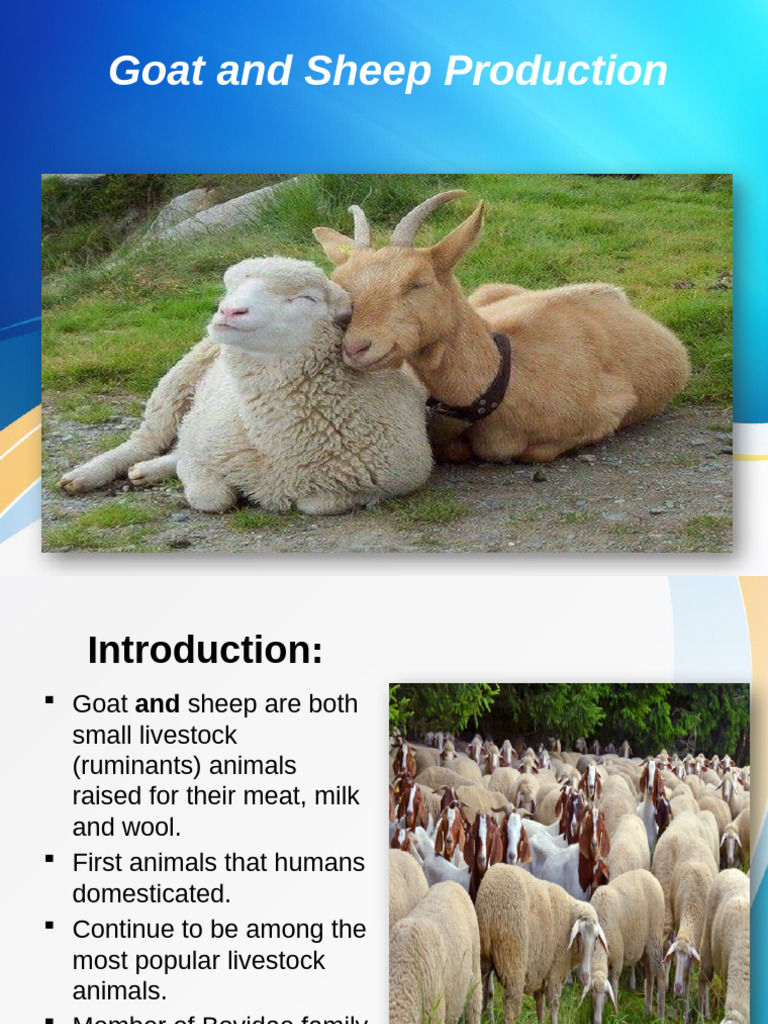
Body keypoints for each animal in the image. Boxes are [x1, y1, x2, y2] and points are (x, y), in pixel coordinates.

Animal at [63, 257, 432, 516]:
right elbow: (210, 495)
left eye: (307, 298)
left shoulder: (399, 477)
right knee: (145, 440)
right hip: (177, 380)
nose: (228, 311)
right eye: (229, 288)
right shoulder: (200, 444)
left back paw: (147, 471)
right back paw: (88, 474)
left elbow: (315, 503)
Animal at [475, 863, 606, 1024]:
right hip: (513, 961)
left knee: (481, 1001)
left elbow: (539, 1006)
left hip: (483, 959)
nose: (586, 977)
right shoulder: (555, 971)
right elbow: (553, 1006)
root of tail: (491, 908)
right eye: (580, 934)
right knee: (510, 1011)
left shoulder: (541, 971)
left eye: (596, 937)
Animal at [586, 870, 666, 1024]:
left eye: (605, 993)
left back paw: (660, 1016)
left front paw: (615, 1012)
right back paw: (647, 1012)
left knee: (660, 975)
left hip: (654, 937)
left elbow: (615, 984)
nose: (597, 1021)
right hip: (644, 948)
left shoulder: (617, 958)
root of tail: (650, 874)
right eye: (592, 991)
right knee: (649, 975)